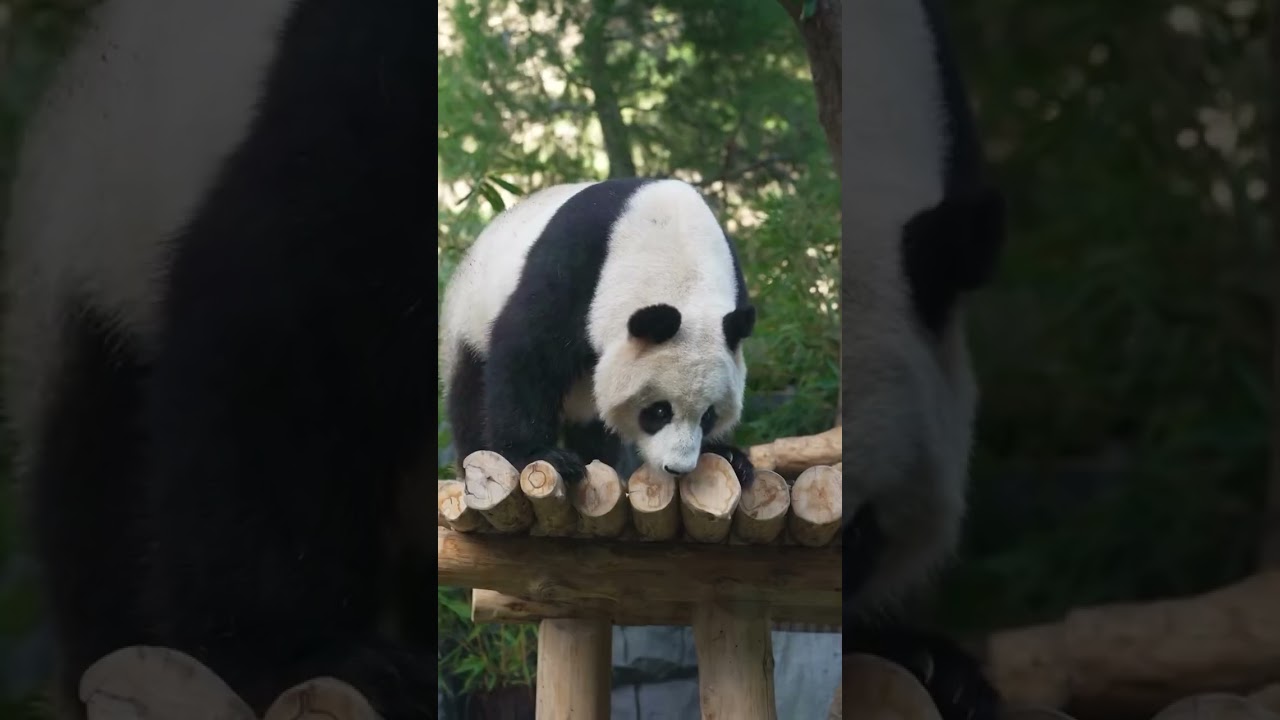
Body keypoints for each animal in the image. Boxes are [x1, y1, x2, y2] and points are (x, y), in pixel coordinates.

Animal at [439, 177, 758, 489]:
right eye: (658, 411)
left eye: (708, 415)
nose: (677, 468)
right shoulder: (575, 263)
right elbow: (527, 353)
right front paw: (542, 455)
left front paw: (728, 455)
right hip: (468, 318)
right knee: (471, 396)